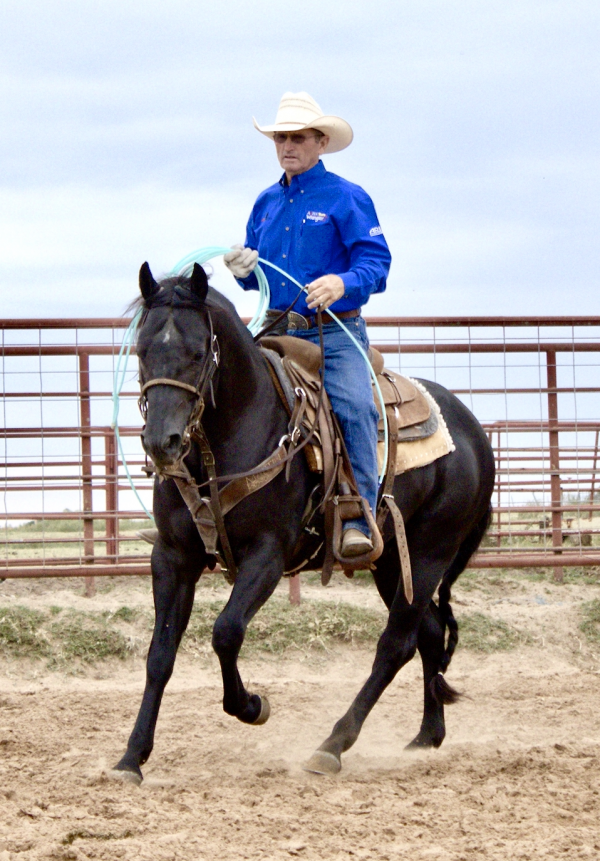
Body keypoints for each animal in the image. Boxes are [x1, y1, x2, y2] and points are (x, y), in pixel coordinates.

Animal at [110, 263, 495, 784]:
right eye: (143, 350)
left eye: (197, 353)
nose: (162, 442)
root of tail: (474, 432)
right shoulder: (172, 556)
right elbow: (160, 655)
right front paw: (132, 757)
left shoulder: (268, 554)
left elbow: (226, 632)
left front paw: (252, 706)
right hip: (393, 562)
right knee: (430, 633)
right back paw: (426, 736)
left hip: (431, 551)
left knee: (395, 644)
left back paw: (332, 746)